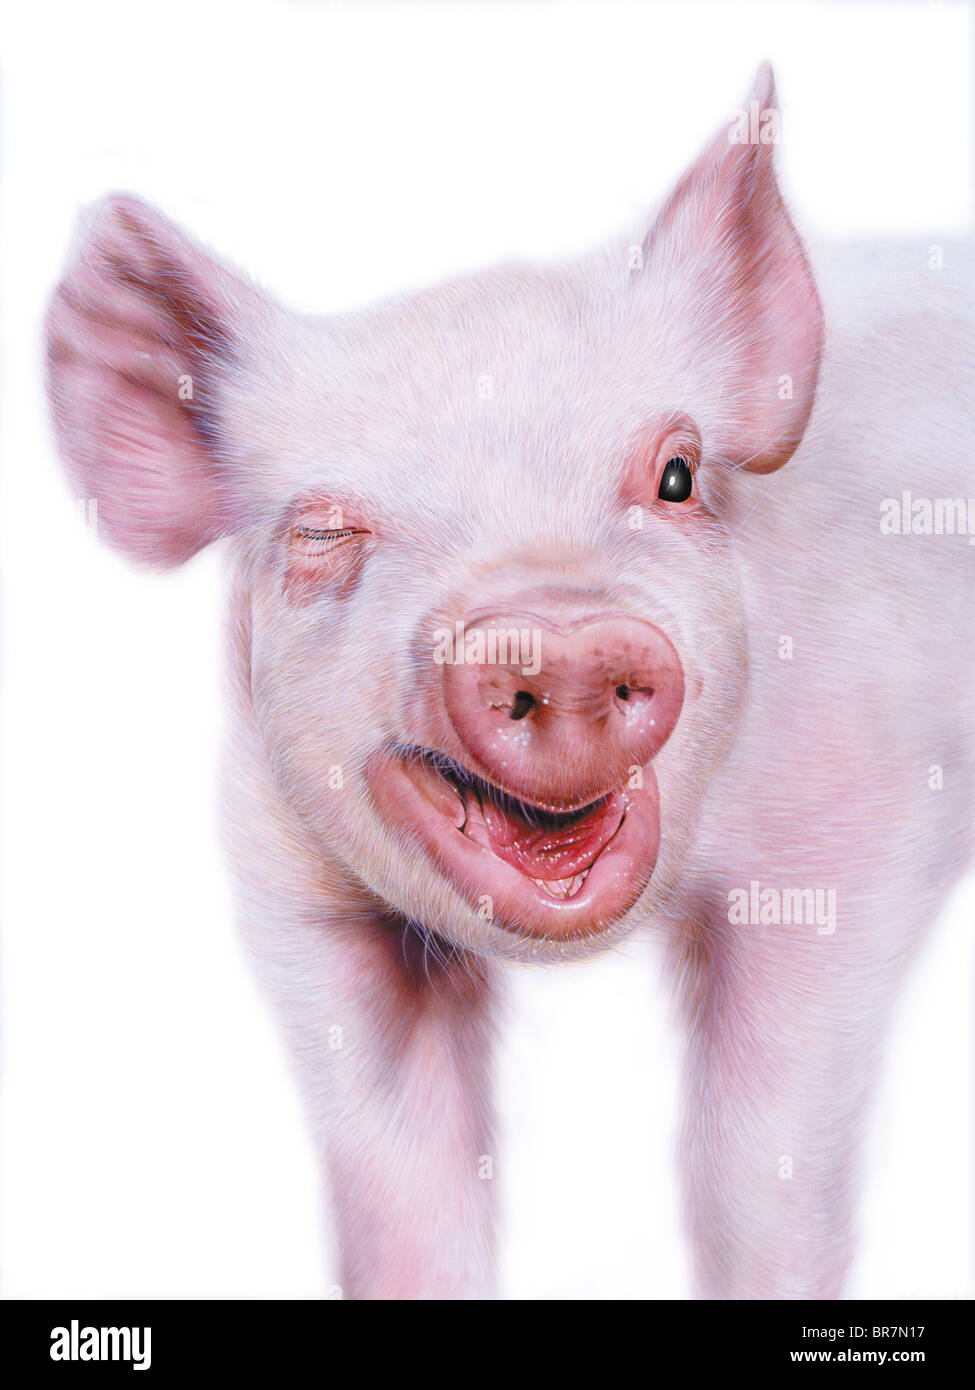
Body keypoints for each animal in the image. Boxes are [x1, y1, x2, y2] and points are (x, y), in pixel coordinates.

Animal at [44, 62, 974, 1299]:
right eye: (324, 531)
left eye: (676, 475)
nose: (561, 632)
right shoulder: (292, 886)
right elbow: (402, 1185)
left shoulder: (853, 828)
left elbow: (752, 1159)